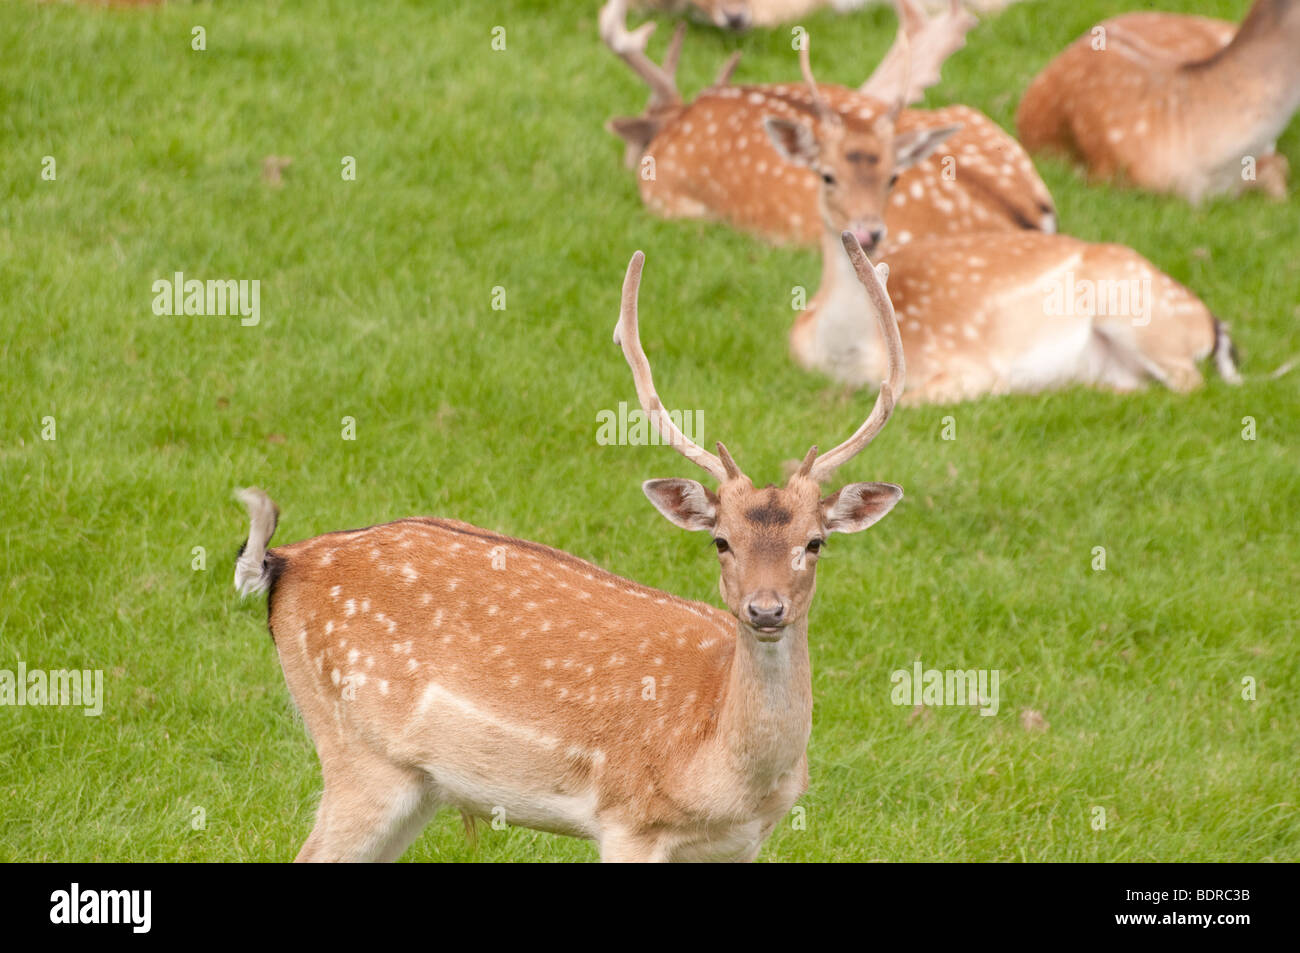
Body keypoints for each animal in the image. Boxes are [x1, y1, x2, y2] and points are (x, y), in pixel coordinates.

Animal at [233, 235, 907, 863]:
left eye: (814, 542)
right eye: (721, 540)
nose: (766, 610)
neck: (722, 767)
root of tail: (284, 559)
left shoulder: (742, 844)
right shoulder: (630, 818)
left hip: (416, 785)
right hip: (360, 754)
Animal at [763, 73, 1242, 402]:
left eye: (893, 177)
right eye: (826, 175)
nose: (869, 230)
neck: (846, 351)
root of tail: (1210, 322)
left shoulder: (961, 362)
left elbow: (917, 398)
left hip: (1142, 317)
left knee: (1189, 382)